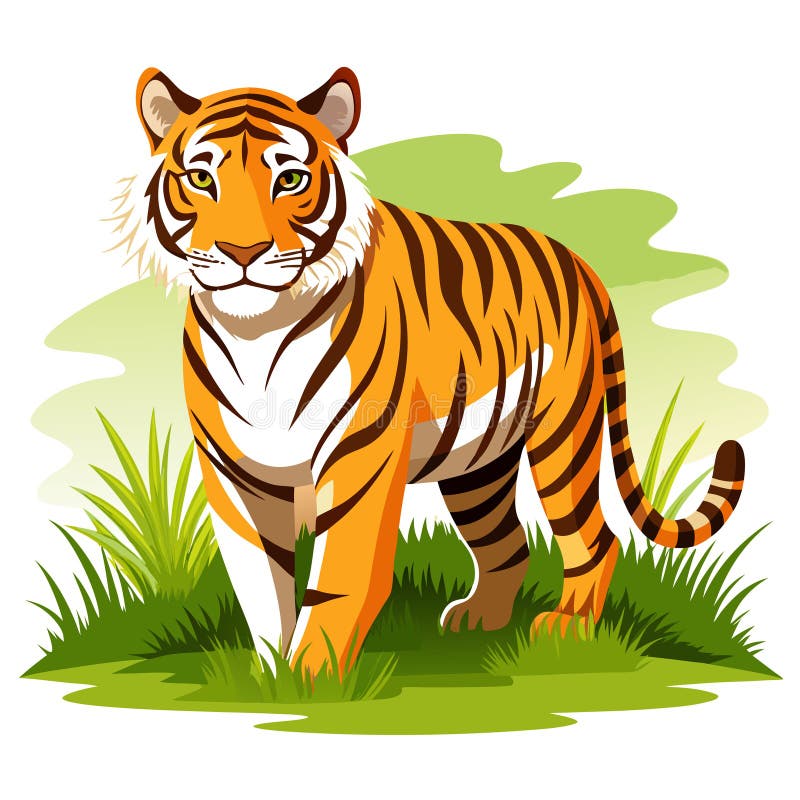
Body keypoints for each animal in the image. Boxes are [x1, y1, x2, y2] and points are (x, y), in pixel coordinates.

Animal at [117, 66, 745, 677]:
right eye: (202, 180)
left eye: (290, 180)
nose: (243, 251)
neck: (258, 330)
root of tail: (582, 264)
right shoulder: (233, 471)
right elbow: (261, 586)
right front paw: (269, 677)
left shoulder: (359, 455)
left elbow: (339, 579)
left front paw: (310, 677)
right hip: (478, 469)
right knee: (507, 544)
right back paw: (480, 622)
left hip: (562, 439)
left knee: (596, 537)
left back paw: (567, 629)